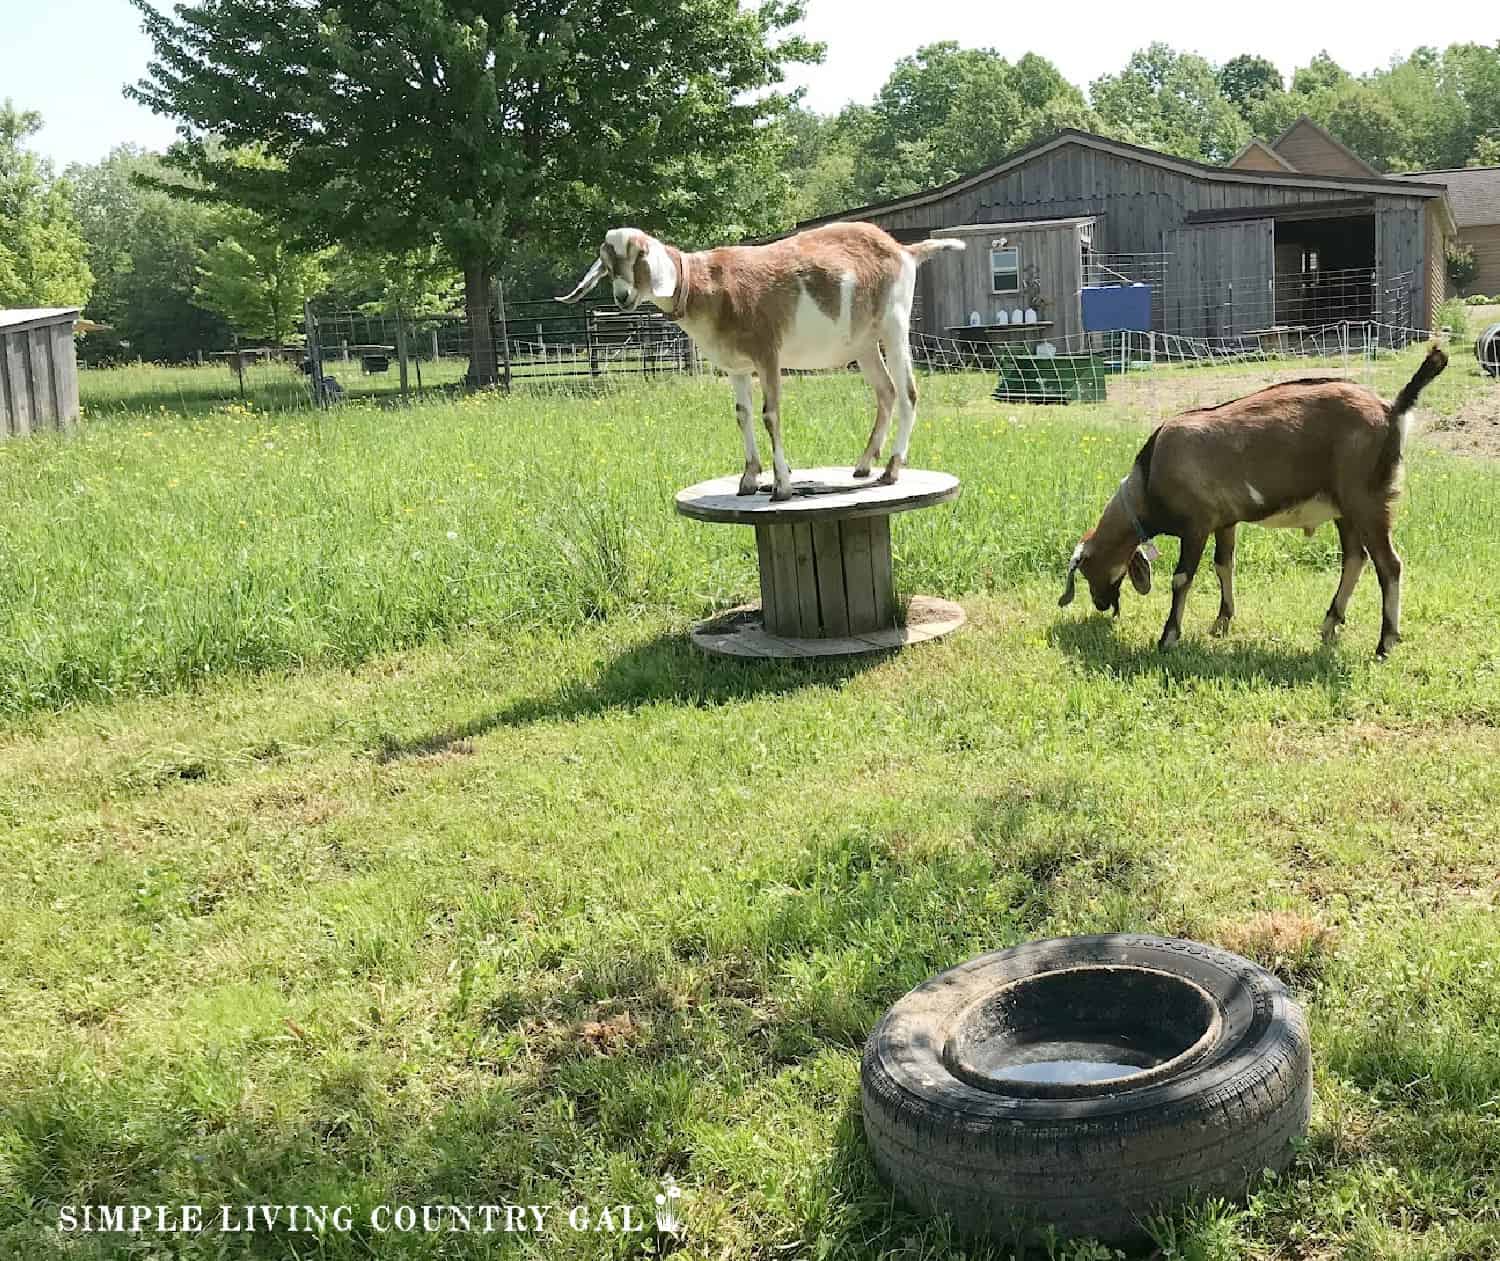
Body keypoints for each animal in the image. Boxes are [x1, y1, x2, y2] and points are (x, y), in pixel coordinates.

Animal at [557, 223, 964, 500]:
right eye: (608, 264)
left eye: (638, 256)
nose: (622, 297)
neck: (709, 287)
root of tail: (904, 250)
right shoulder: (736, 367)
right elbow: (742, 415)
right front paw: (750, 478)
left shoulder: (767, 354)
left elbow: (771, 414)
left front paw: (781, 485)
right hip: (863, 344)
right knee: (886, 393)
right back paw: (864, 465)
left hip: (894, 326)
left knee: (908, 393)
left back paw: (892, 469)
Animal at [1058, 344, 1449, 658]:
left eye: (1087, 567)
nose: (1100, 604)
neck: (1150, 474)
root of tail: (1391, 409)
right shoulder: (1225, 522)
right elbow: (1223, 565)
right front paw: (1221, 622)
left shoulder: (1196, 525)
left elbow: (1182, 578)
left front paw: (1168, 637)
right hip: (1345, 508)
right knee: (1355, 559)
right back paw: (1328, 625)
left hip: (1367, 500)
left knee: (1389, 565)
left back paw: (1385, 643)